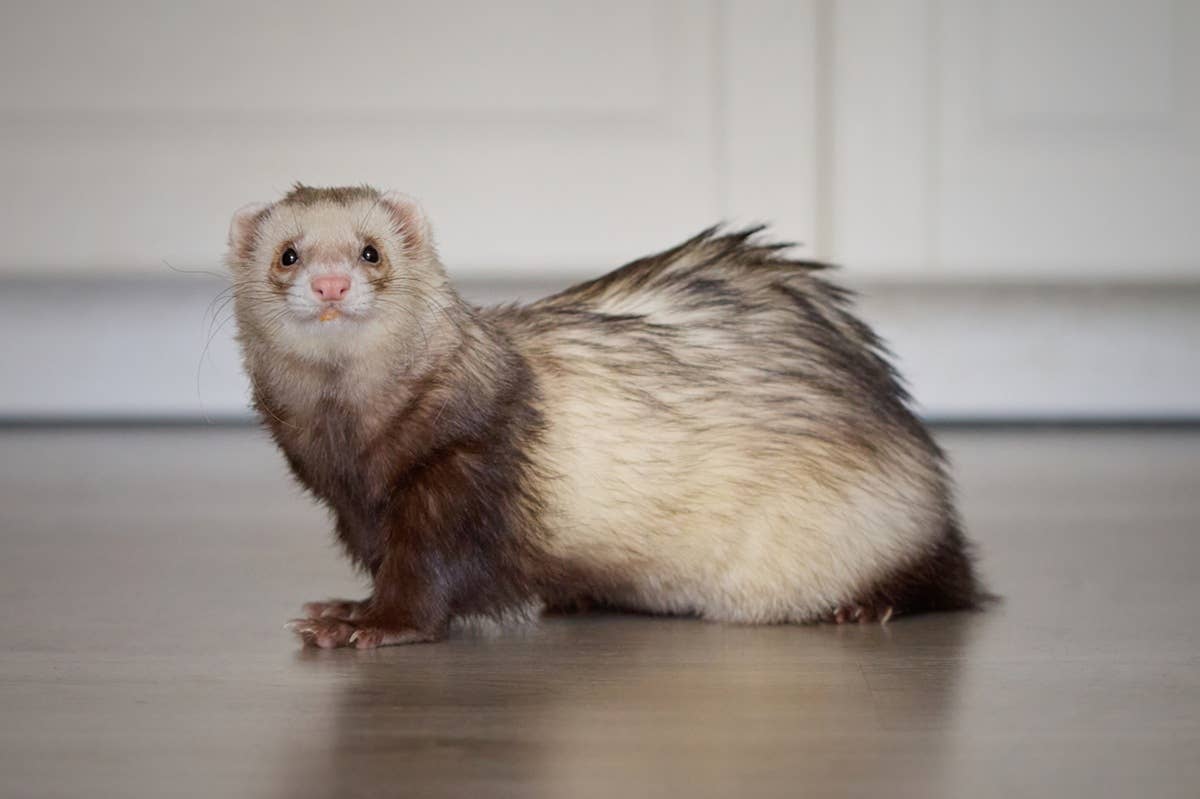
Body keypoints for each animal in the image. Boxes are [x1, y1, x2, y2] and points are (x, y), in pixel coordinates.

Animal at [226, 184, 988, 648]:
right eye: (288, 253)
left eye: (370, 249)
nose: (330, 283)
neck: (359, 456)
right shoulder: (361, 511)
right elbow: (391, 563)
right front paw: (347, 607)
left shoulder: (464, 473)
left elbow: (429, 577)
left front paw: (371, 623)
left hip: (871, 525)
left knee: (950, 580)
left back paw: (868, 604)